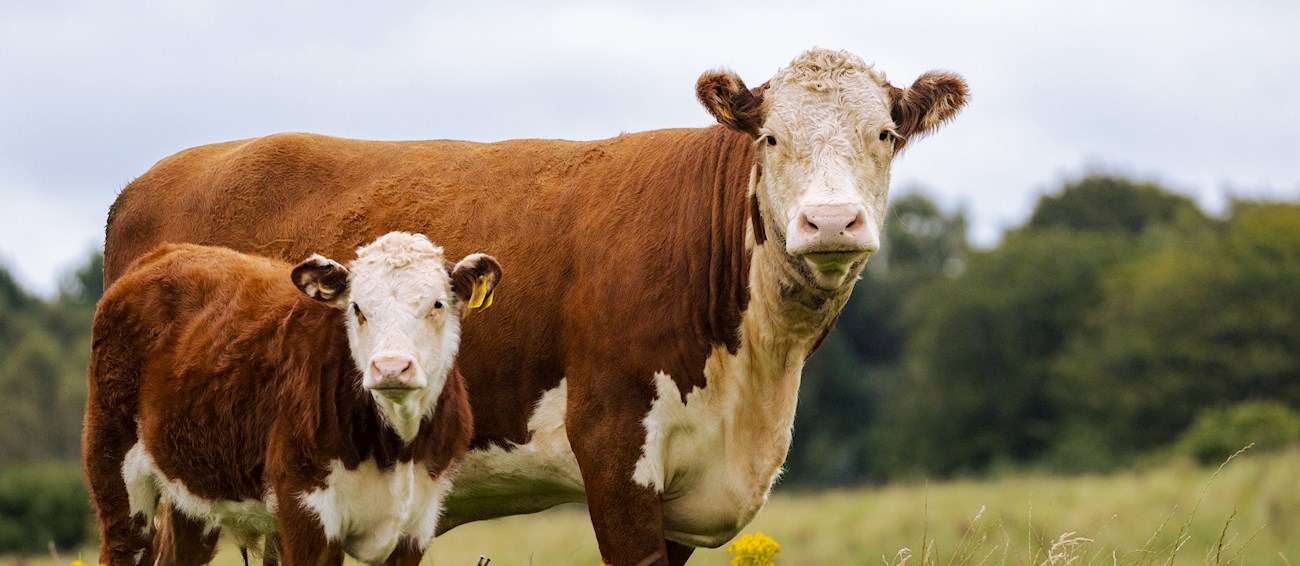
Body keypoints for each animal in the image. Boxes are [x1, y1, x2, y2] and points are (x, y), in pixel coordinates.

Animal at [83, 232, 501, 566]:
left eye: (437, 304)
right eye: (357, 308)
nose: (391, 367)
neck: (395, 448)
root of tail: (165, 252)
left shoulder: (416, 523)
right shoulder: (304, 509)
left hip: (193, 488)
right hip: (114, 468)